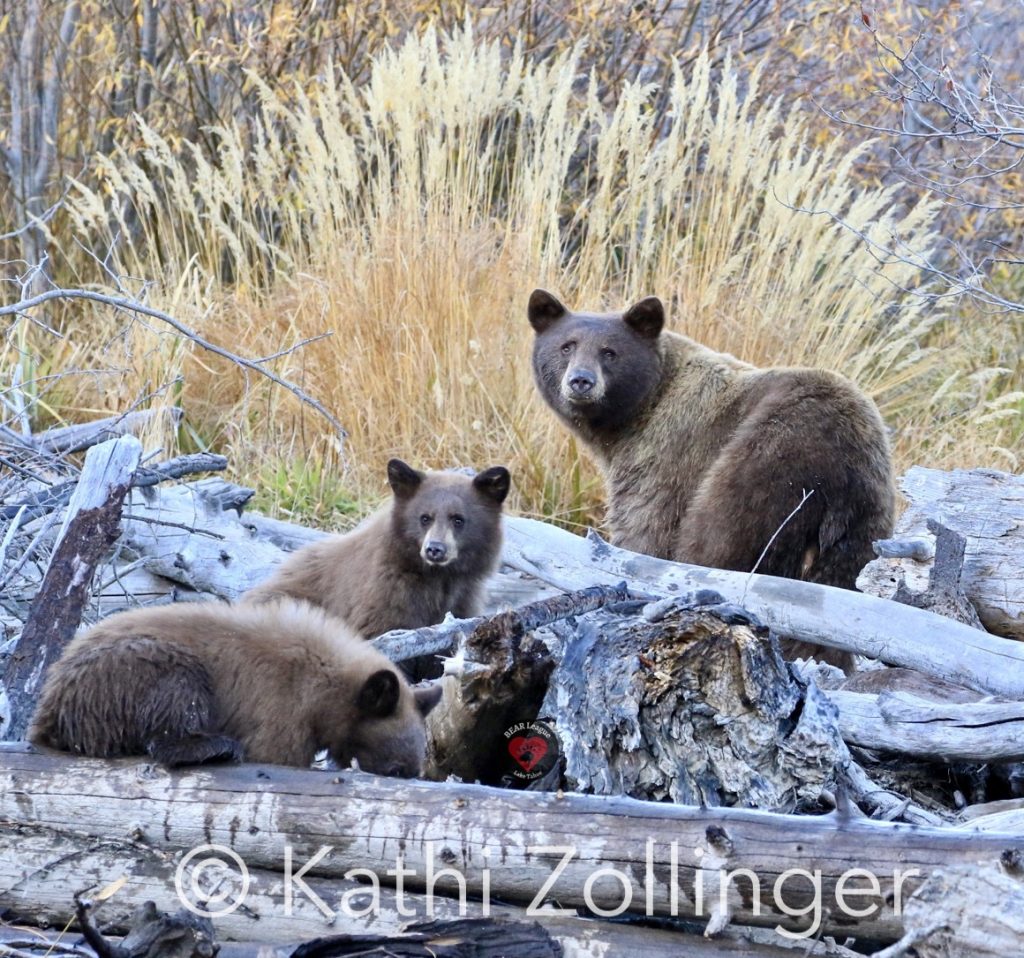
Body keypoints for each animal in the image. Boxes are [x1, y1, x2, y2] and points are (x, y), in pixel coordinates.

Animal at [28, 598, 443, 773]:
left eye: (413, 769)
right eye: (395, 768)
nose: (406, 773)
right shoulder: (282, 706)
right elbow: (274, 754)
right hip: (127, 670)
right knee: (176, 693)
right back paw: (214, 747)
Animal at [243, 459, 511, 639]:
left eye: (458, 519)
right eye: (425, 518)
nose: (435, 549)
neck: (438, 578)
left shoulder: (465, 598)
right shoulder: (386, 593)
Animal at [528, 289, 895, 592]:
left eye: (609, 352)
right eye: (566, 346)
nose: (581, 381)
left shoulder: (664, 454)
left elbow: (645, 526)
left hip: (764, 463)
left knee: (719, 538)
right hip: (867, 511)